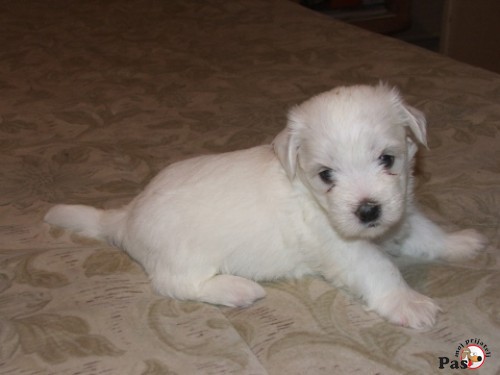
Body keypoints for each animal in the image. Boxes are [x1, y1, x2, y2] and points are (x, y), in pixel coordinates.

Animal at [46, 84, 484, 328]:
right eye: (326, 175)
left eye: (387, 159)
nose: (367, 211)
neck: (305, 189)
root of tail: (124, 218)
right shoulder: (346, 250)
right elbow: (383, 270)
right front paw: (409, 302)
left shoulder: (401, 214)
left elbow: (426, 231)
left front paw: (461, 243)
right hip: (183, 255)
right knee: (175, 284)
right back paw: (236, 289)